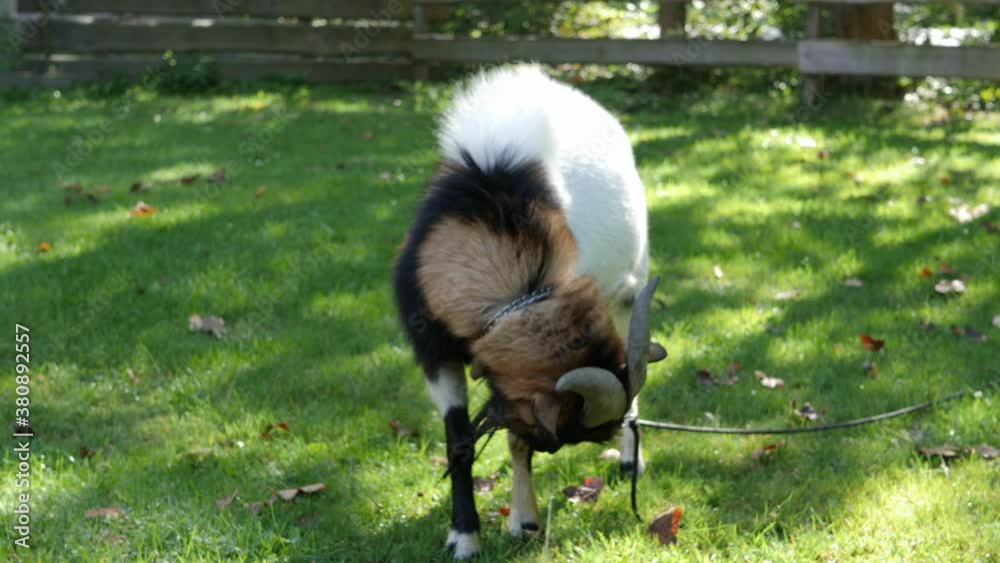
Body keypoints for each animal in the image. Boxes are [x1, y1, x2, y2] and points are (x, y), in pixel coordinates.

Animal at [393, 65, 665, 558]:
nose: (555, 450)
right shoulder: (435, 352)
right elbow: (458, 441)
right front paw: (464, 537)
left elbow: (515, 443)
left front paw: (523, 521)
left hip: (629, 288)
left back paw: (629, 461)